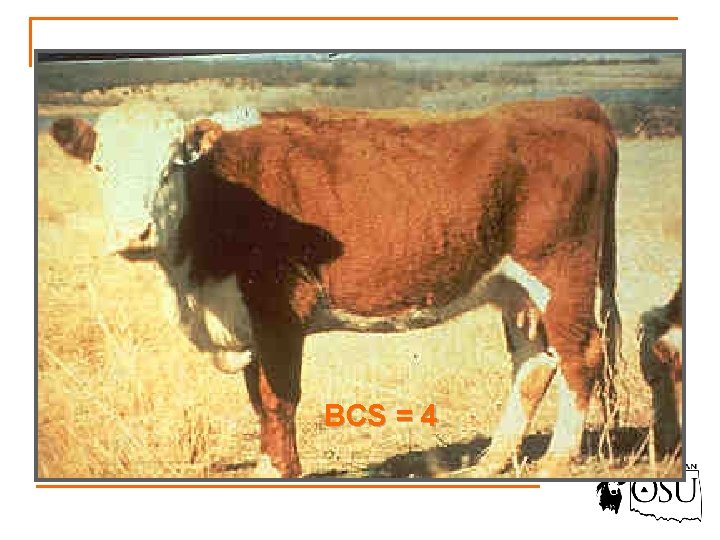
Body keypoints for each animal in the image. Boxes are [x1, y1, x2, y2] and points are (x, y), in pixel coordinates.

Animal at [50, 96, 620, 478]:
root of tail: (566, 106)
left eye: (170, 169)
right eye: (99, 167)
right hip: (512, 286)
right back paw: (491, 460)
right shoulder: (245, 316)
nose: (133, 233)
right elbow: (258, 399)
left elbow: (278, 398)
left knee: (580, 354)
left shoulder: (279, 310)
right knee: (533, 361)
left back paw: (557, 459)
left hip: (560, 269)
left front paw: (275, 472)